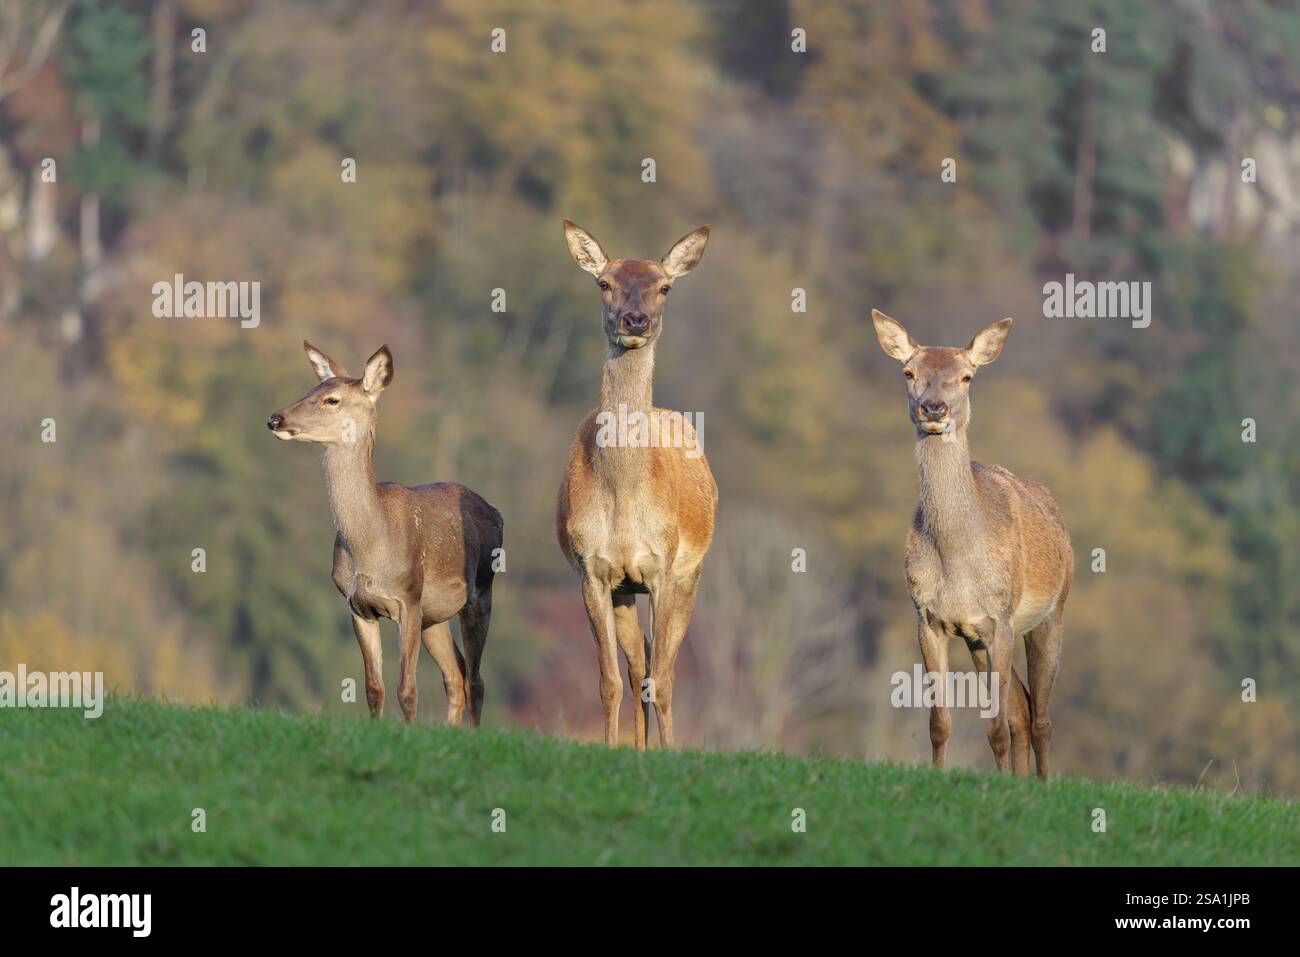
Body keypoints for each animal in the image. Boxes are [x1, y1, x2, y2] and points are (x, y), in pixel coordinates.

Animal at [267, 341, 503, 727]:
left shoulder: (408, 598)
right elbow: (373, 687)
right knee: (455, 676)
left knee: (477, 679)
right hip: (434, 616)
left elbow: (406, 688)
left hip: (480, 591)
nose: (275, 418)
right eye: (309, 389)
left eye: (332, 399)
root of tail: (496, 513)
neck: (370, 546)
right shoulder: (357, 605)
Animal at [556, 220, 718, 750]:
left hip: (691, 573)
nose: (635, 319)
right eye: (603, 283)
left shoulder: (664, 566)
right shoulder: (592, 569)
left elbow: (664, 677)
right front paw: (613, 748)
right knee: (637, 665)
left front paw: (671, 752)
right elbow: (609, 678)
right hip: (627, 590)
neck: (623, 499)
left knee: (657, 668)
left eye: (664, 287)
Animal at [872, 310, 1072, 780]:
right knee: (1021, 710)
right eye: (909, 373)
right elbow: (939, 722)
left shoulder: (999, 617)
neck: (957, 564)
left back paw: (1043, 782)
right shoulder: (930, 617)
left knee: (1041, 717)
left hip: (1051, 614)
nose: (933, 408)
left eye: (966, 377)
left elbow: (995, 727)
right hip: (980, 641)